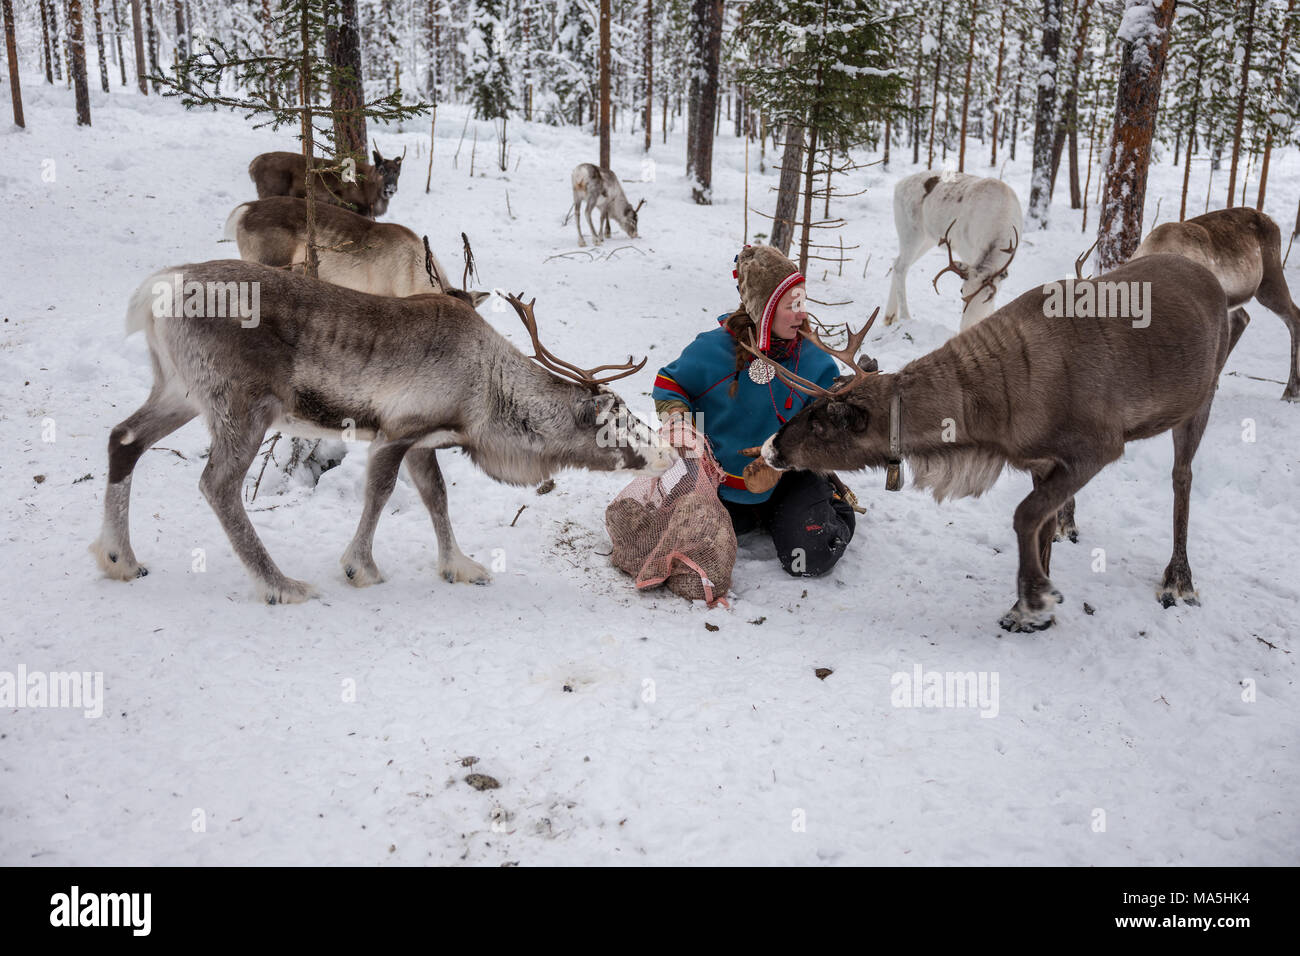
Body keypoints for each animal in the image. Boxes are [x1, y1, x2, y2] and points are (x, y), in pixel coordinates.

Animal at [90, 261, 675, 604]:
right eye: (617, 416)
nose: (669, 452)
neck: (486, 395)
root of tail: (156, 292)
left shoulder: (424, 442)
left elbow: (436, 497)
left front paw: (459, 566)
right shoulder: (396, 432)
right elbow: (380, 492)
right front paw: (360, 568)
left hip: (179, 391)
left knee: (123, 439)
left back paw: (120, 560)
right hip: (242, 405)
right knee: (218, 485)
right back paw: (280, 584)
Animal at [248, 144, 406, 219]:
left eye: (397, 172)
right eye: (382, 170)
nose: (390, 188)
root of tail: (253, 166)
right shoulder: (353, 207)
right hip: (269, 193)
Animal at [749, 254, 1247, 633]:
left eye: (822, 422)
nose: (771, 446)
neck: (991, 415)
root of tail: (1215, 282)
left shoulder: (1099, 446)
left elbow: (1023, 515)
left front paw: (1035, 601)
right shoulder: (1039, 461)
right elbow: (1039, 526)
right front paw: (1032, 606)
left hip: (1200, 398)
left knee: (1182, 476)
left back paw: (1179, 580)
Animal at [884, 170, 1024, 331]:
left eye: (990, 296)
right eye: (962, 290)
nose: (966, 327)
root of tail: (898, 185)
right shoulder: (968, 252)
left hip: (928, 239)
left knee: (897, 262)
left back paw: (889, 317)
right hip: (911, 232)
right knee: (901, 267)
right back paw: (905, 317)